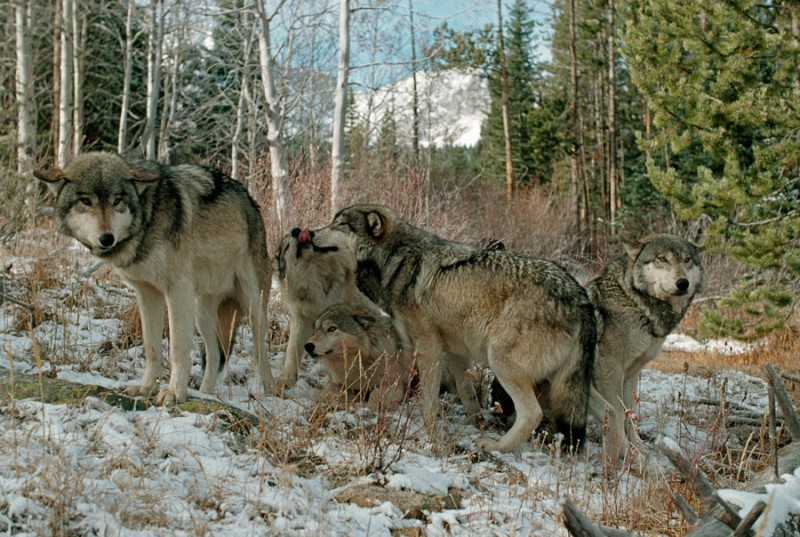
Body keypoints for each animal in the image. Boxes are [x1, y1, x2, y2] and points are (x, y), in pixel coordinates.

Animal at [34, 152, 274, 404]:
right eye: (86, 201)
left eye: (117, 200)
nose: (107, 238)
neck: (147, 218)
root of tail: (252, 203)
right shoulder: (147, 293)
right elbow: (151, 347)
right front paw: (146, 388)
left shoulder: (177, 291)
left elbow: (177, 348)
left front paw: (174, 392)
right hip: (202, 314)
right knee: (216, 354)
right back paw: (206, 393)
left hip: (252, 306)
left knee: (261, 352)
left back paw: (271, 393)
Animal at [313, 204, 597, 453]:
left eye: (340, 224)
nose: (309, 232)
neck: (397, 261)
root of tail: (581, 299)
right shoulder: (455, 352)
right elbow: (467, 393)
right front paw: (474, 424)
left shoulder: (428, 348)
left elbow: (428, 401)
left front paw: (430, 435)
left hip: (501, 363)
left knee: (532, 414)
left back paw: (496, 447)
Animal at [587, 234, 704, 459]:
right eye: (662, 259)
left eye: (687, 260)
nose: (682, 283)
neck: (635, 302)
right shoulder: (609, 369)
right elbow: (616, 410)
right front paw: (628, 453)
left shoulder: (631, 374)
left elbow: (629, 414)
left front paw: (639, 448)